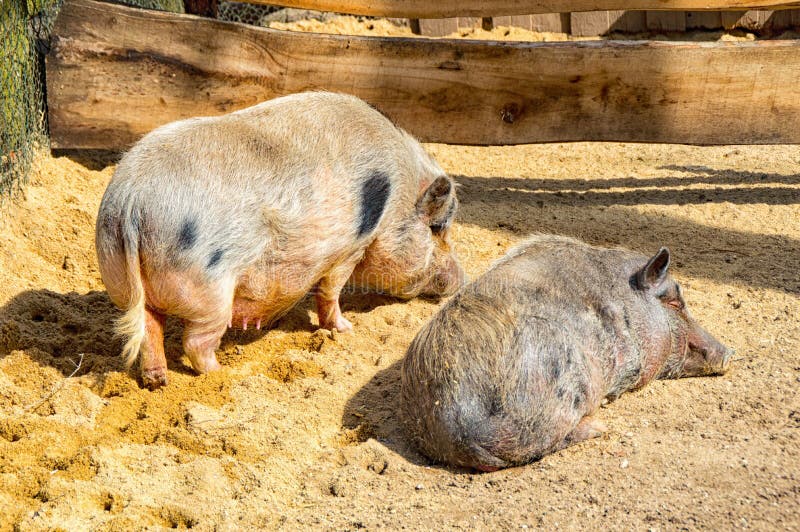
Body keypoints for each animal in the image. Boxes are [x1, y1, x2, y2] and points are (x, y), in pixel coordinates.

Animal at [95, 91, 464, 389]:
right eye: (438, 228)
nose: (461, 278)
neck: (396, 197)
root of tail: (131, 199)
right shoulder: (351, 247)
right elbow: (331, 290)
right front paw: (345, 329)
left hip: (122, 278)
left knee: (148, 329)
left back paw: (157, 381)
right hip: (208, 288)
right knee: (195, 343)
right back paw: (223, 374)